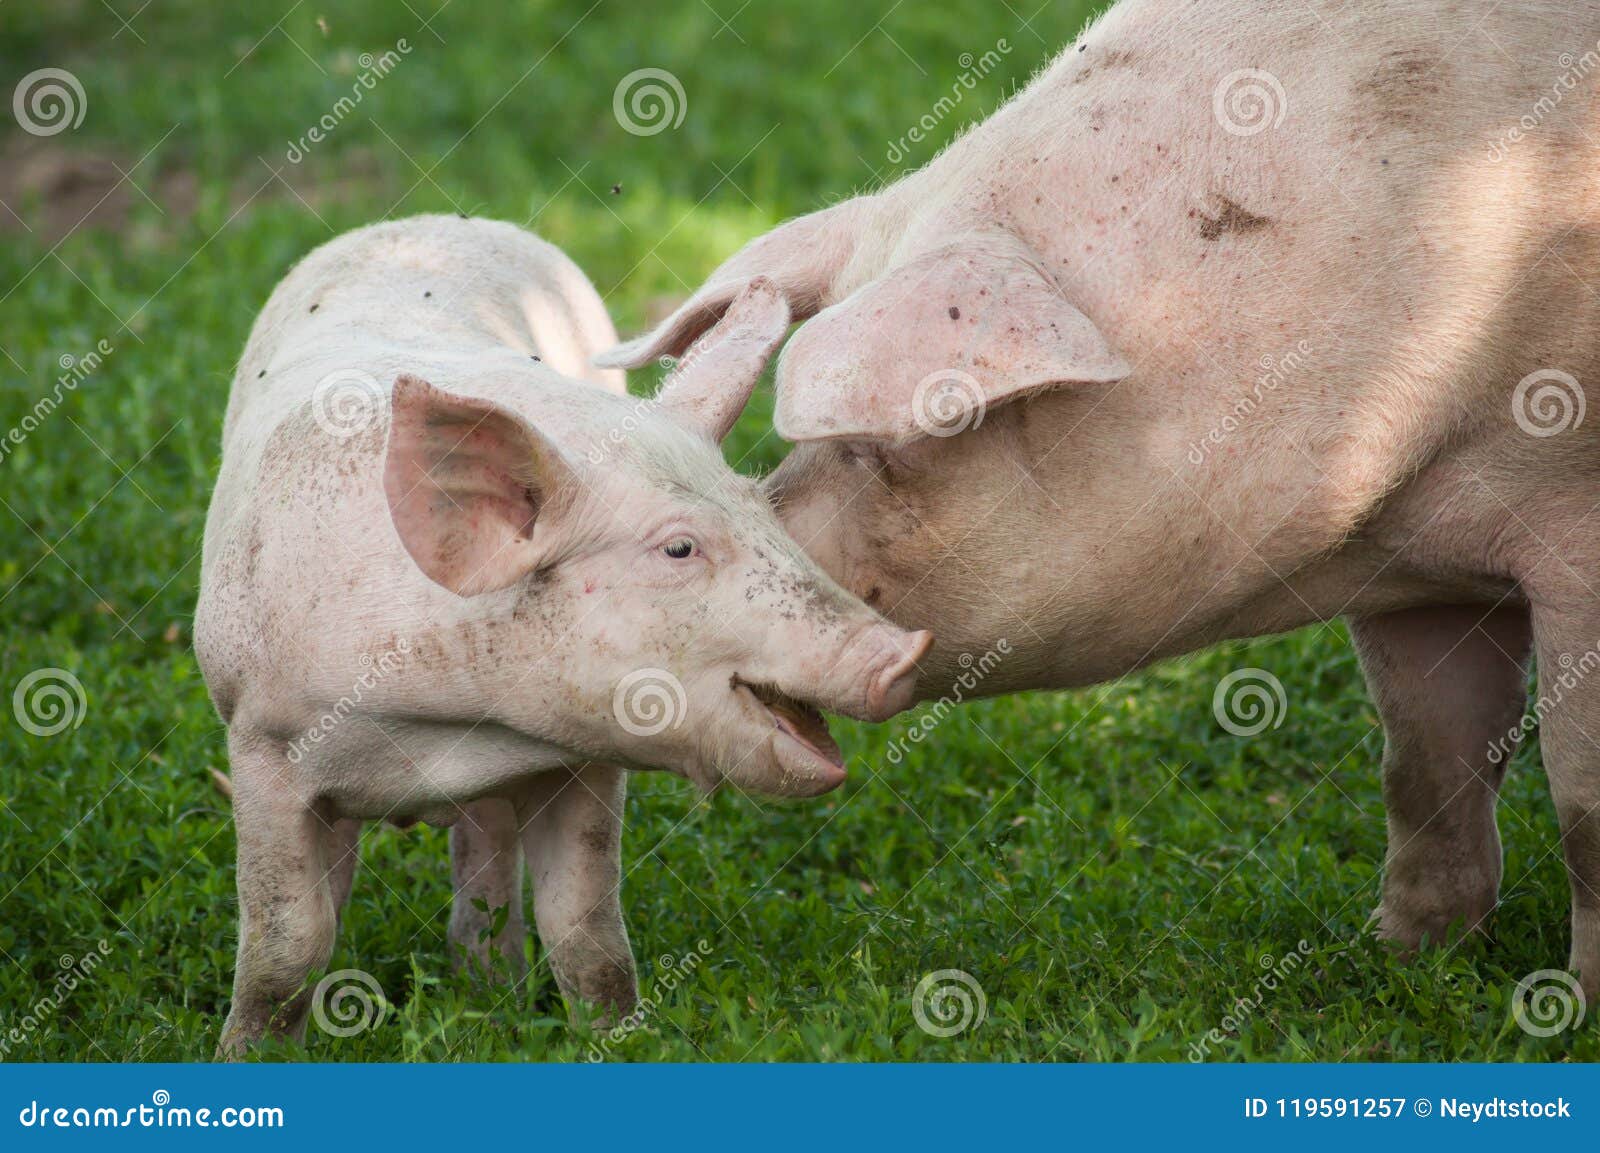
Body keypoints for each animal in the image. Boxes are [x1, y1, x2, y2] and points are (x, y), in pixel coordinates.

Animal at [193, 215, 930, 1055]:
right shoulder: (261, 739)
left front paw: (620, 1038)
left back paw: (493, 993)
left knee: (485, 855)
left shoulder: (585, 759)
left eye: (766, 511)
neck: (450, 722)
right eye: (678, 548)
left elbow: (586, 927)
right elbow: (288, 939)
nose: (904, 652)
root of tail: (428, 224)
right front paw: (247, 1053)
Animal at [600, 0, 1600, 1001]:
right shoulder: (1416, 565)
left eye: (879, 446)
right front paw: (1405, 962)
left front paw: (1565, 1000)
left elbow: (1579, 797)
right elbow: (1424, 761)